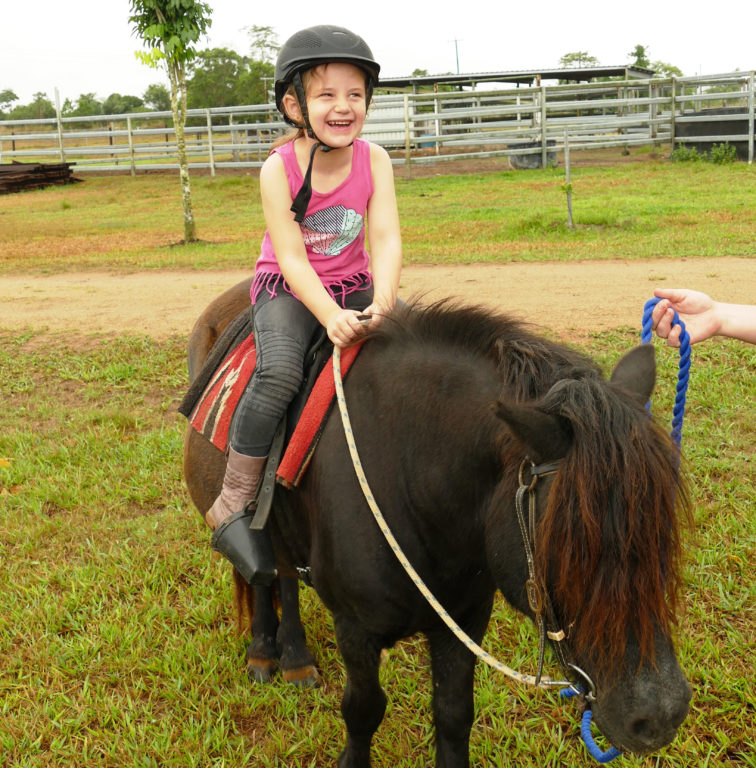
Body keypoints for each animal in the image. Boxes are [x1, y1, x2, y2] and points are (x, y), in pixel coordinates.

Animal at [183, 282, 691, 767]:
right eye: (568, 548)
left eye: (659, 536)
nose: (660, 714)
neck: (412, 480)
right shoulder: (355, 629)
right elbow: (362, 711)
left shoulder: (465, 620)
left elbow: (453, 714)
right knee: (259, 571)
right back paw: (264, 650)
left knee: (283, 574)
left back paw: (295, 657)